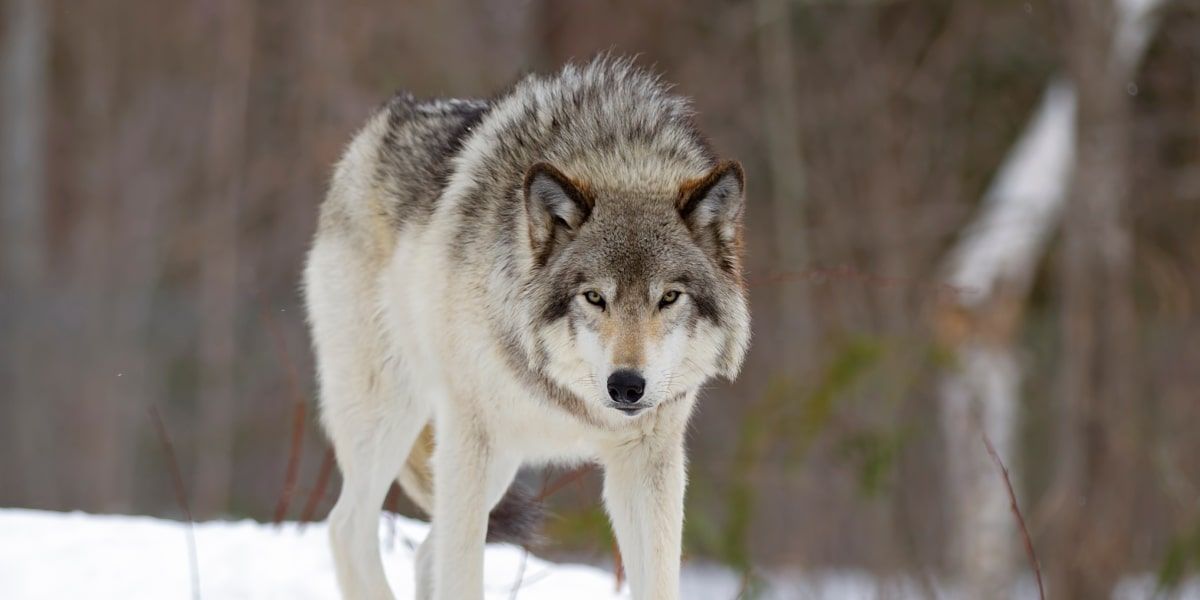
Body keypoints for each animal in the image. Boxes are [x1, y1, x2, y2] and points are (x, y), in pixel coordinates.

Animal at [304, 57, 751, 600]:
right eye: (594, 297)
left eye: (668, 298)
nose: (627, 386)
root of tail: (379, 126)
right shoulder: (469, 439)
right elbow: (460, 578)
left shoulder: (649, 462)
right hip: (393, 418)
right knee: (347, 529)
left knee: (425, 552)